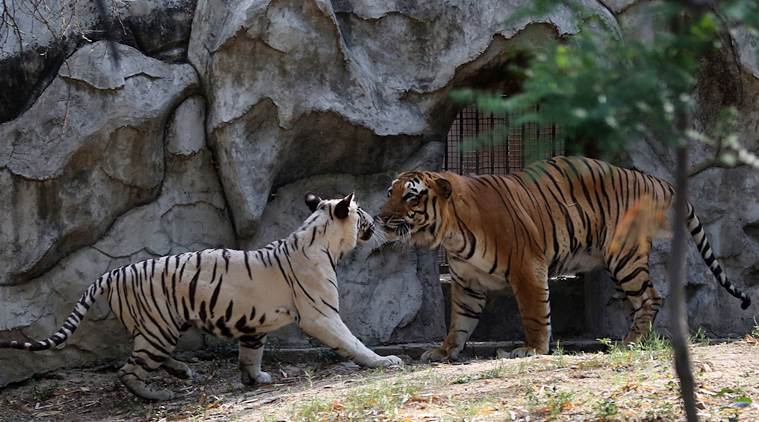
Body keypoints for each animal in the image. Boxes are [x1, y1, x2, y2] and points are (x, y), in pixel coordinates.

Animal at [0, 193, 402, 400]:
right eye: (363, 212)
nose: (378, 222)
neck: (320, 238)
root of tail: (115, 272)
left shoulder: (253, 324)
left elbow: (250, 355)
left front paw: (256, 378)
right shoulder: (322, 315)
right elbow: (351, 342)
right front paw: (384, 361)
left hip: (156, 327)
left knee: (146, 358)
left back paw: (181, 371)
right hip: (159, 327)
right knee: (128, 370)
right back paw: (155, 395)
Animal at [375, 155, 751, 361]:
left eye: (410, 197)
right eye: (390, 192)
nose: (380, 217)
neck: (451, 233)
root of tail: (654, 179)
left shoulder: (526, 267)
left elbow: (534, 313)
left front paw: (532, 349)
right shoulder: (467, 284)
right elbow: (459, 323)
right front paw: (444, 351)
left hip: (624, 255)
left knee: (651, 297)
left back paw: (630, 342)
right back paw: (634, 337)